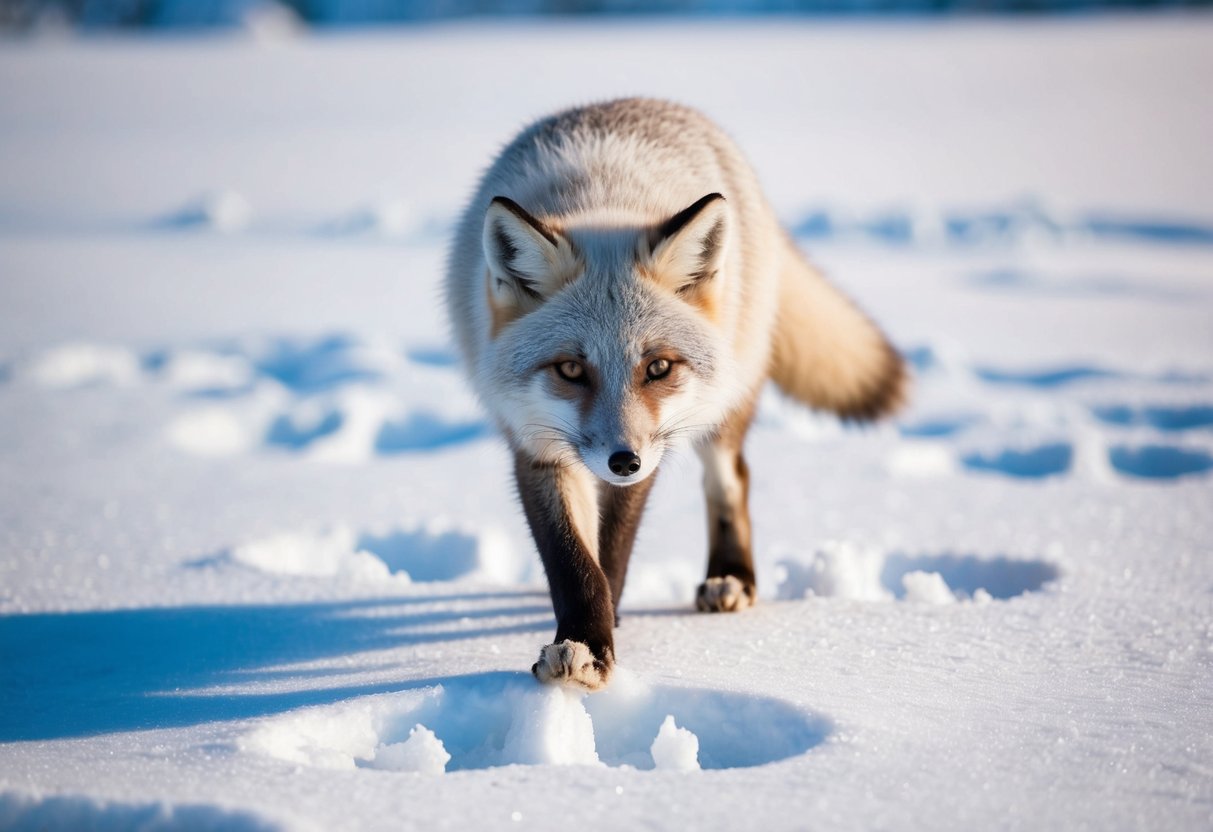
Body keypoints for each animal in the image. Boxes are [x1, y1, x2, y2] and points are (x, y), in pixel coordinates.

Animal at [445, 98, 906, 691]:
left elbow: (612, 553)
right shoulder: (534, 446)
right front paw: (583, 640)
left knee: (732, 480)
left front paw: (601, 642)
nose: (622, 461)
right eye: (570, 369)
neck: (602, 199)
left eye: (658, 367)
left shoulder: (651, 448)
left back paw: (731, 577)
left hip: (723, 399)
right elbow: (574, 563)